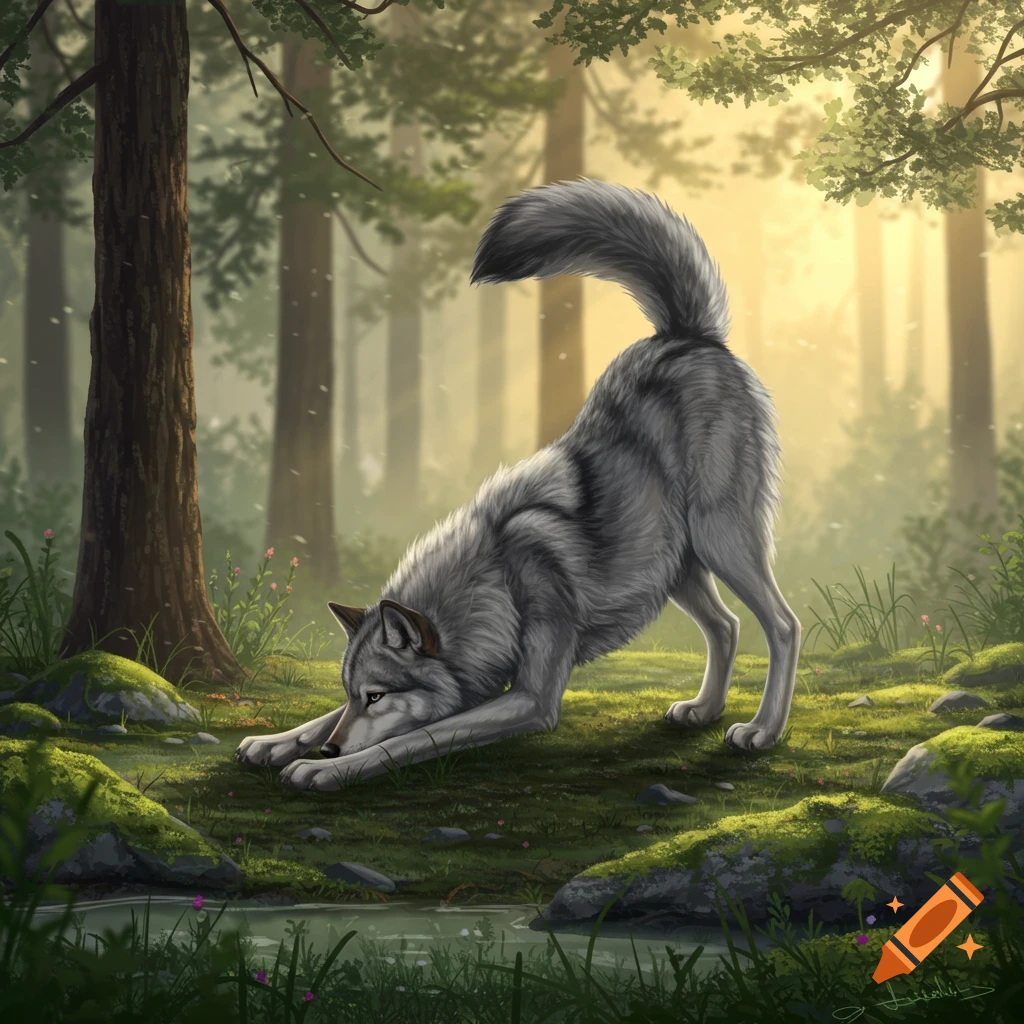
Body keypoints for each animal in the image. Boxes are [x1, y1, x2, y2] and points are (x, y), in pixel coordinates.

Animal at [236, 178, 801, 791]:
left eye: (377, 696)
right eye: (351, 694)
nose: (332, 751)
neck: (497, 577)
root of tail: (686, 335)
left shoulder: (532, 697)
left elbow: (409, 739)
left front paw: (326, 771)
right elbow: (330, 719)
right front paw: (277, 742)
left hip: (721, 540)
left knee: (783, 626)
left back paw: (761, 731)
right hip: (675, 568)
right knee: (726, 626)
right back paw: (703, 710)